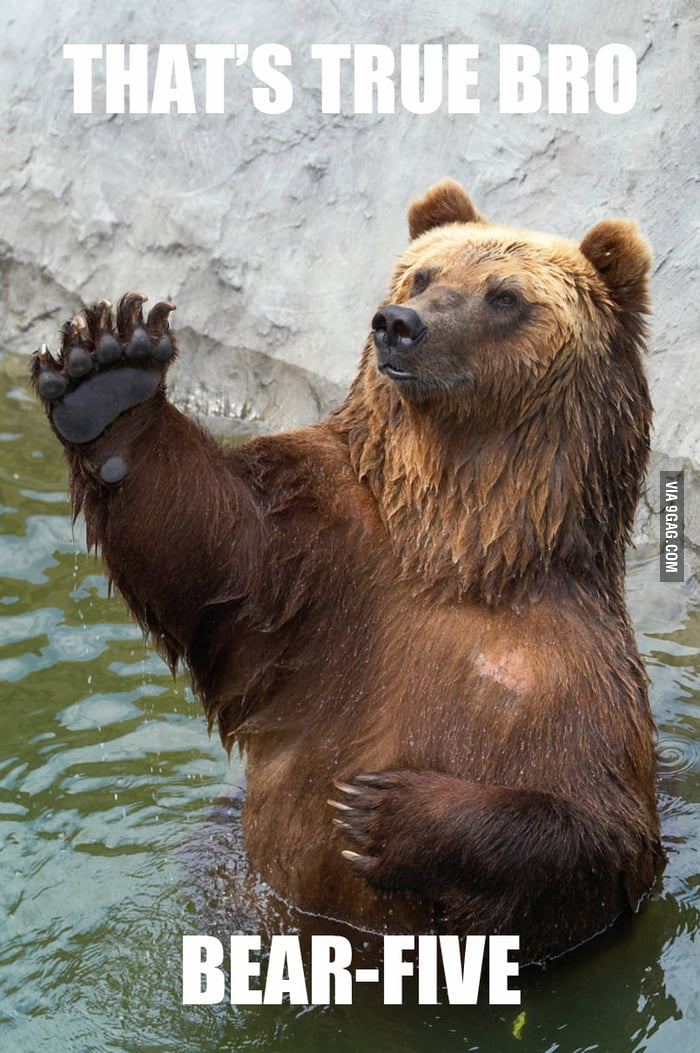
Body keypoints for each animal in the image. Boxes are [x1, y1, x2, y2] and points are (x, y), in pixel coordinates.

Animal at [32, 179, 662, 964]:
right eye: (423, 275)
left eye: (504, 295)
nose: (399, 324)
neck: (457, 548)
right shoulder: (326, 559)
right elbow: (215, 549)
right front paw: (106, 374)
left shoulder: (577, 678)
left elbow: (599, 835)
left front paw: (383, 810)